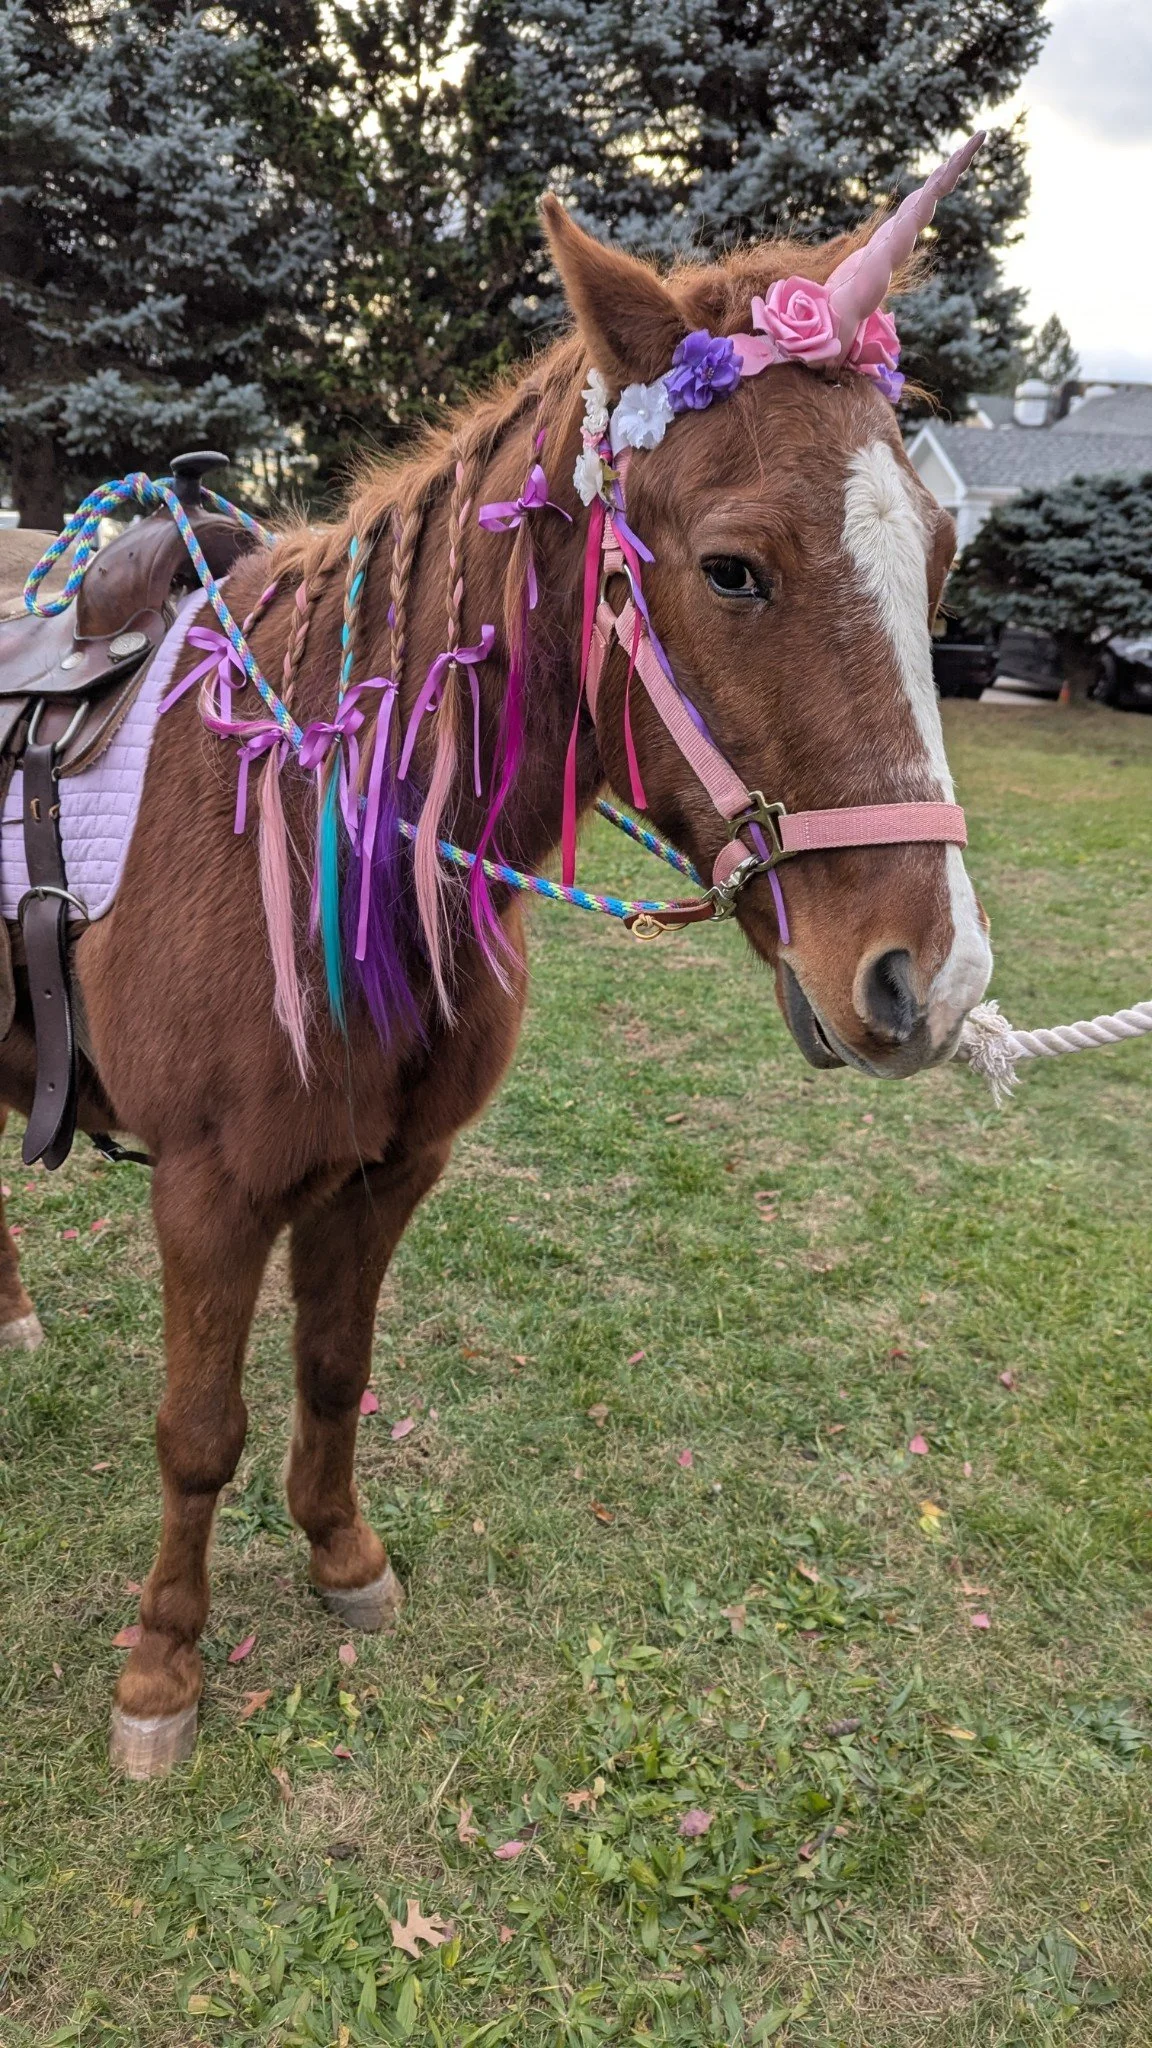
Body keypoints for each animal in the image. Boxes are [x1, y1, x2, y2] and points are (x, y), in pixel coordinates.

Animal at [0, 154, 993, 1776]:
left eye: (943, 558)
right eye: (732, 568)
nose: (937, 979)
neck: (326, 815)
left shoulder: (390, 1170)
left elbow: (332, 1373)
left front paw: (343, 1559)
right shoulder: (211, 1191)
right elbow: (196, 1432)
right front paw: (159, 1671)